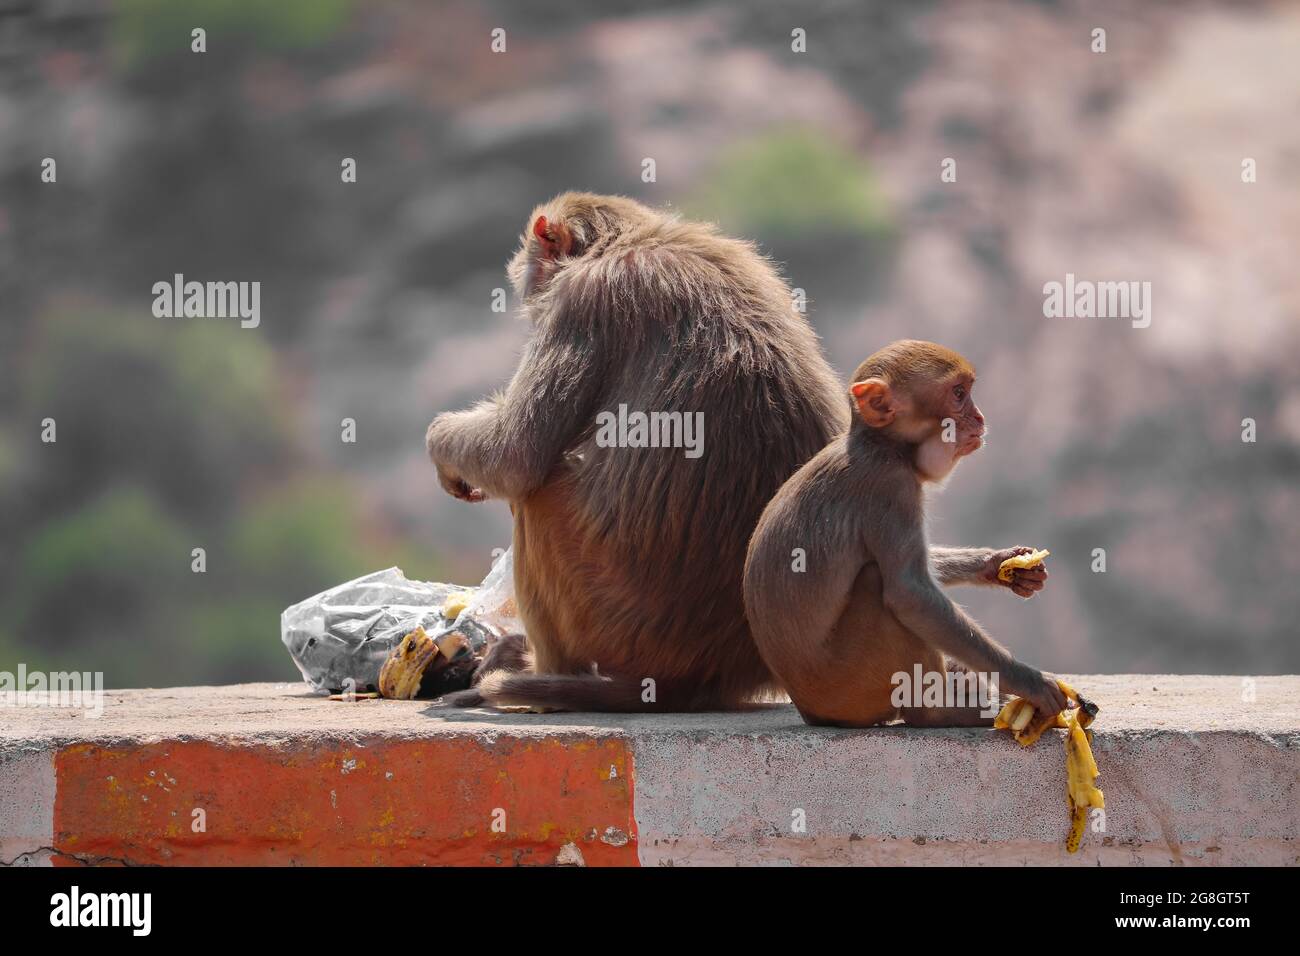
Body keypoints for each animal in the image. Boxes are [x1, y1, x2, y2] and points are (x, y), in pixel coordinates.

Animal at [425, 192, 848, 711]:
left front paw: (442, 443)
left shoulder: (581, 302)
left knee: (539, 497)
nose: (527, 281)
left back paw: (545, 678)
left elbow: (517, 453)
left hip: (610, 620)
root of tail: (717, 670)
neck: (629, 243)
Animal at [742, 339, 1068, 728]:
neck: (886, 446)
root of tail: (810, 711)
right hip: (851, 685)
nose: (980, 418)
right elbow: (910, 593)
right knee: (878, 584)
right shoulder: (892, 486)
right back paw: (935, 711)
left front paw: (999, 564)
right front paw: (1031, 682)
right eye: (958, 394)